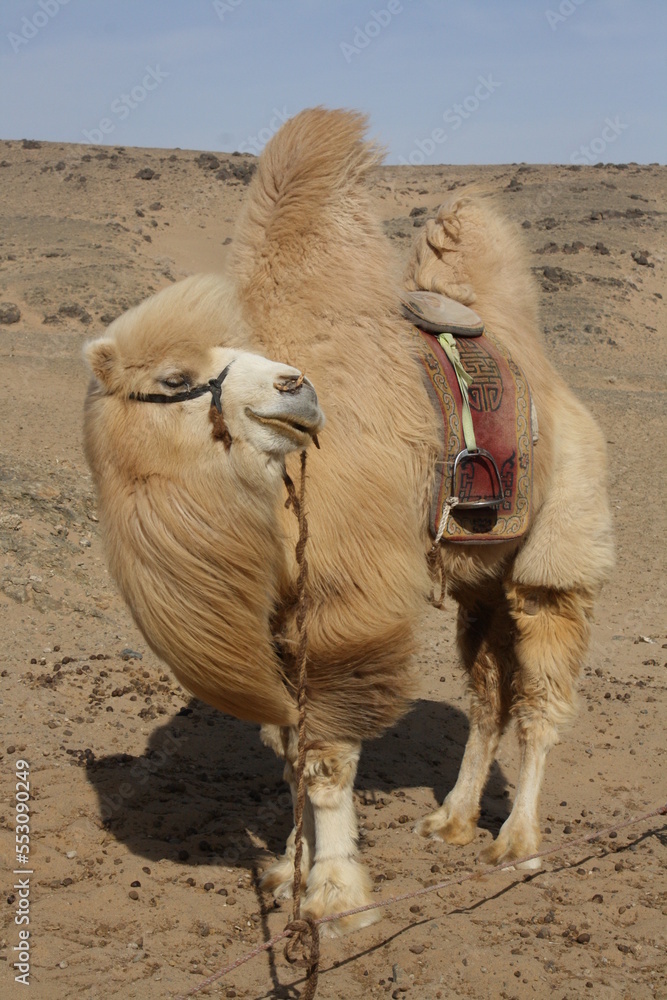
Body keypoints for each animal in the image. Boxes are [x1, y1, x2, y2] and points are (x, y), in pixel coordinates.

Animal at [83, 108, 613, 934]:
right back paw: (452, 821)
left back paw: (517, 844)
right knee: (486, 694)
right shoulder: (279, 613)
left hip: (555, 554)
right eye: (174, 378)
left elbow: (326, 754)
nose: (296, 389)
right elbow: (289, 747)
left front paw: (334, 895)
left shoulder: (343, 599)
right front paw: (287, 872)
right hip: (478, 578)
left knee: (539, 700)